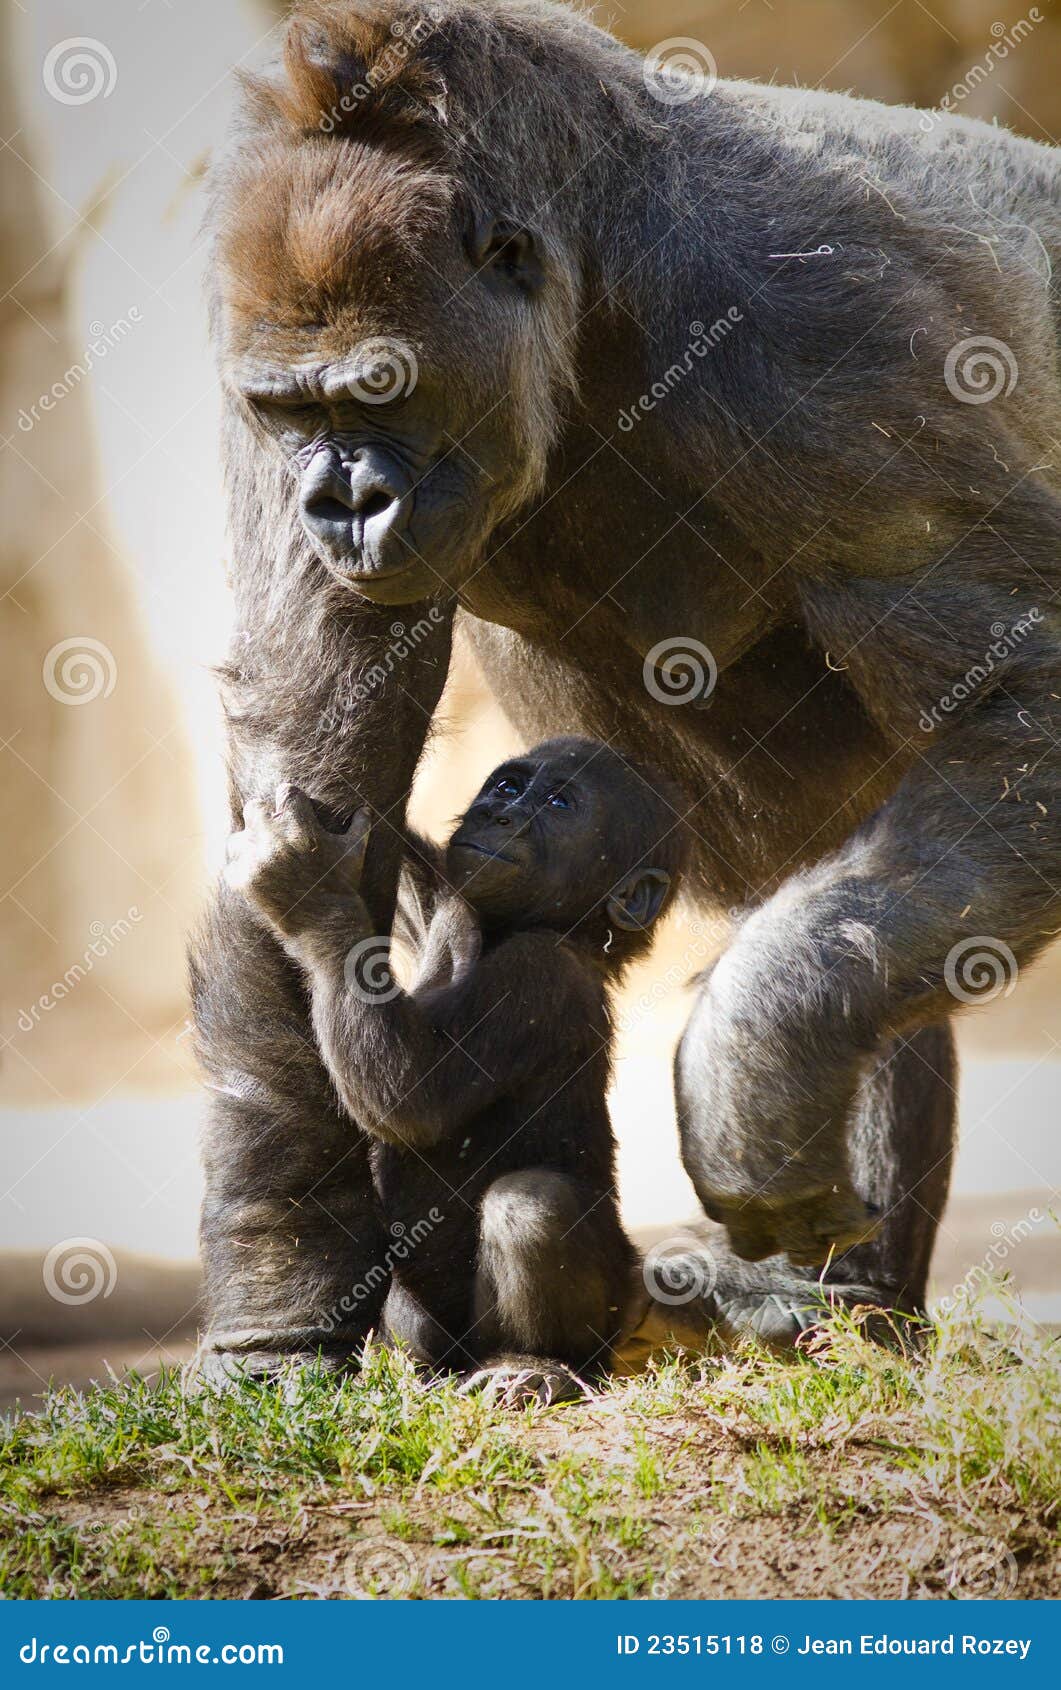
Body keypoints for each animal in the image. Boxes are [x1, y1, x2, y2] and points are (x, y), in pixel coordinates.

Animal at [222, 738, 689, 1401]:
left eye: (558, 803)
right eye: (509, 785)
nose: (499, 813)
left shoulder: (539, 974)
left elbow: (410, 1100)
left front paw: (305, 881)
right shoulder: (445, 897)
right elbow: (414, 866)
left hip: (604, 1323)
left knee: (531, 1206)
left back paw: (533, 1364)